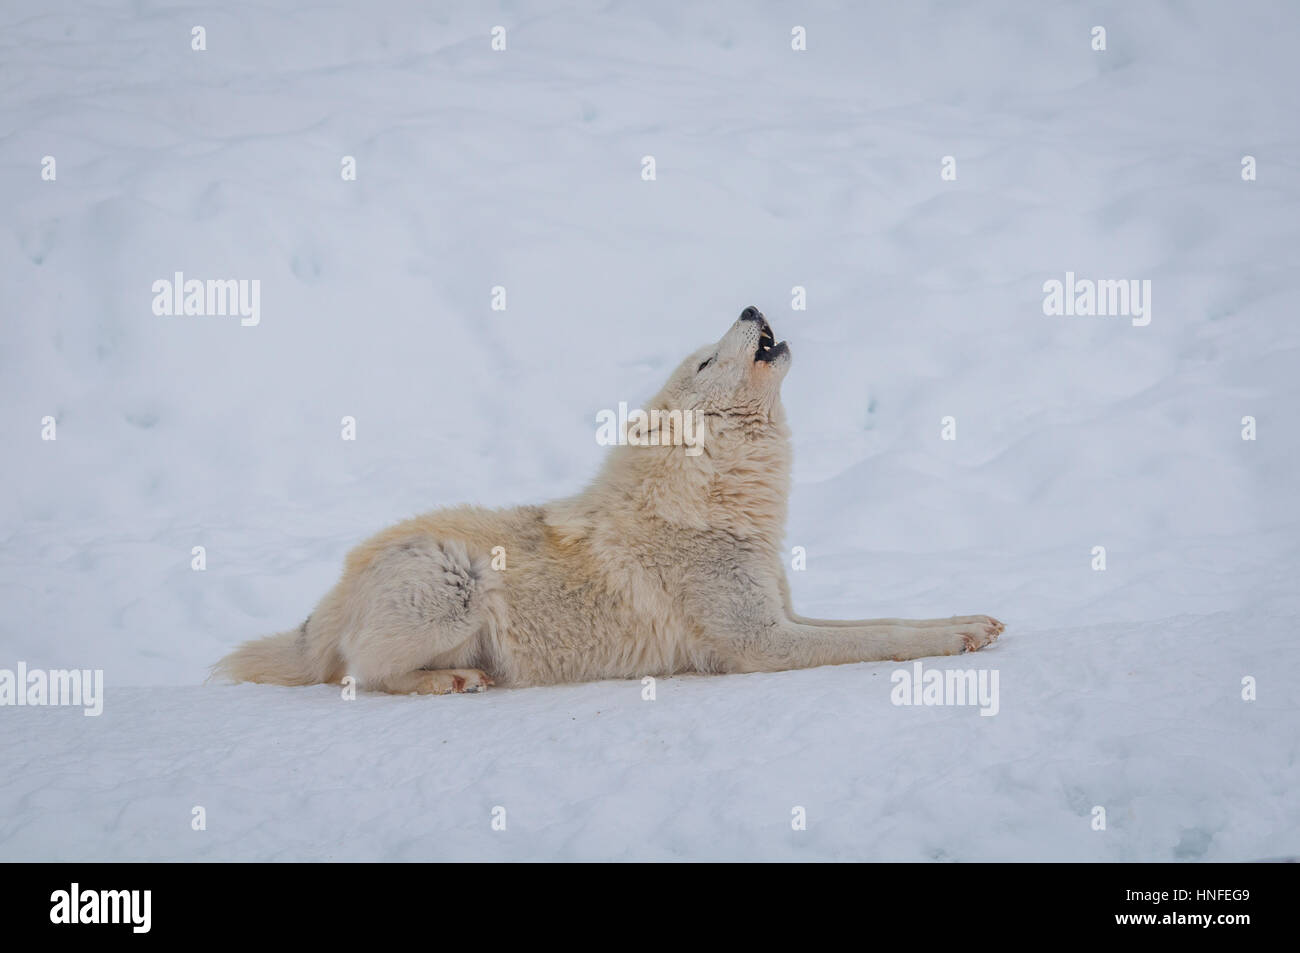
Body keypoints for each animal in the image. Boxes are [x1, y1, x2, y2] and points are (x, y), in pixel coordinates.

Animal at [214, 307, 1002, 694]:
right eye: (706, 362)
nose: (750, 304)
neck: (717, 502)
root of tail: (324, 604)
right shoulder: (761, 642)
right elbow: (881, 636)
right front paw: (951, 641)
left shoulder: (784, 611)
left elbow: (890, 616)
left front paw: (971, 621)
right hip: (454, 580)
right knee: (362, 675)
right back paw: (452, 679)